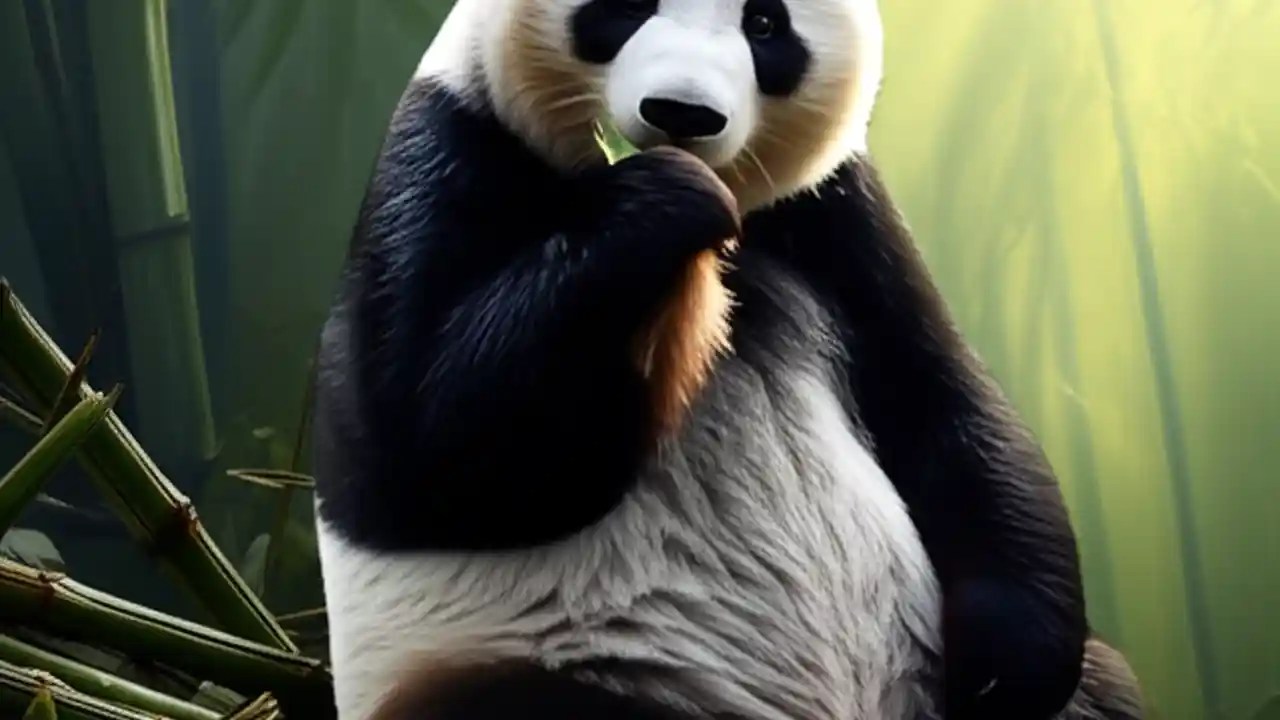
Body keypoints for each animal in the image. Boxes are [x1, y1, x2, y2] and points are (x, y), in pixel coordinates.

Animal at [310, 0, 1146, 719]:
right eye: (623, 5)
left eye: (766, 24)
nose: (681, 115)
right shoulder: (449, 142)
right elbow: (426, 449)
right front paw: (663, 200)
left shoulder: (833, 209)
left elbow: (939, 399)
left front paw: (1004, 674)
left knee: (1106, 688)